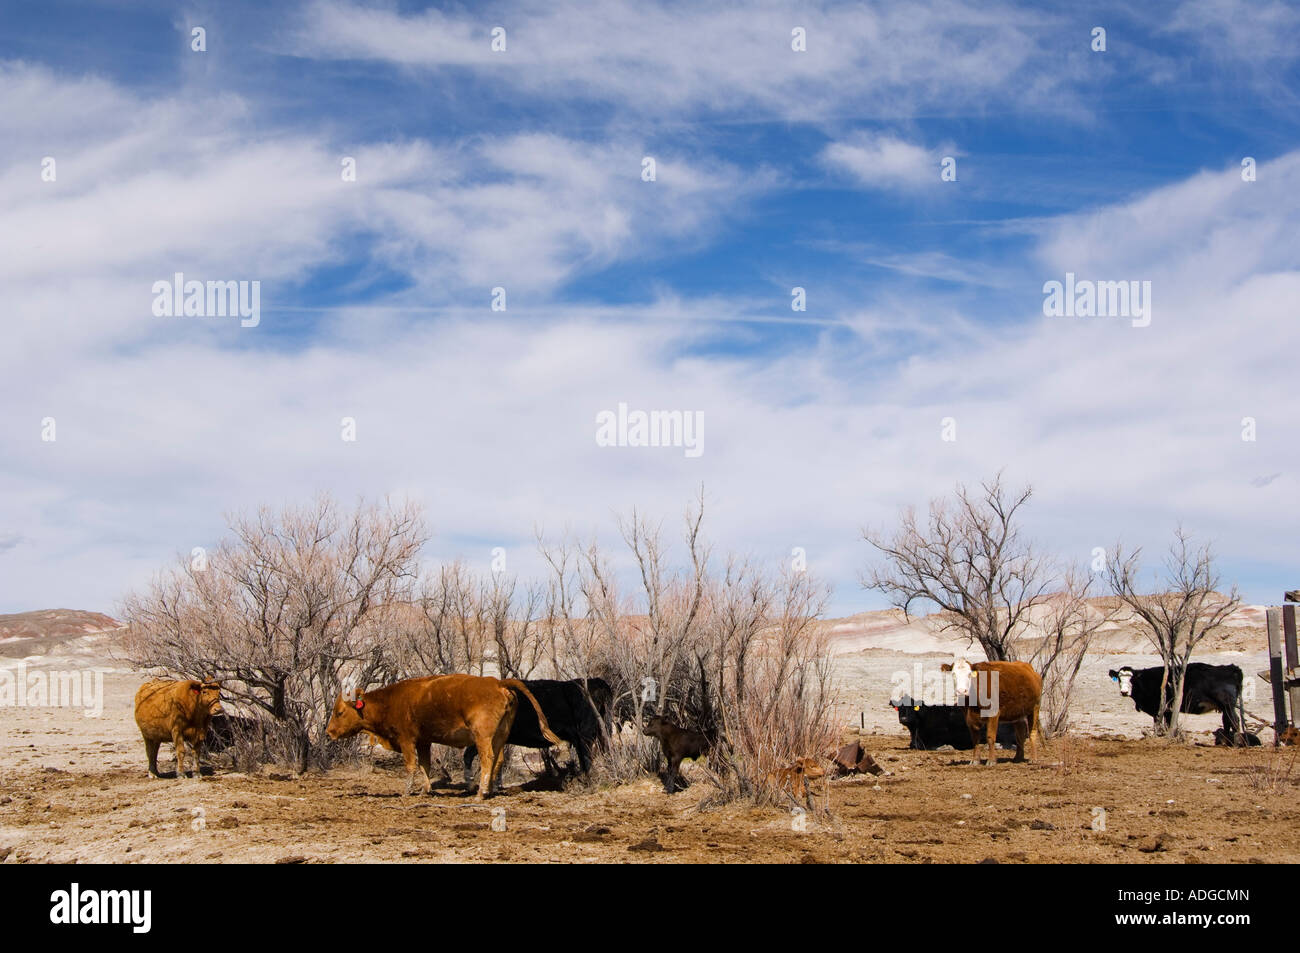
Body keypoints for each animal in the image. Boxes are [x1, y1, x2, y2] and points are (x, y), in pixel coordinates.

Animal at [325, 674, 560, 799]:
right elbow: (425, 765)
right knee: (499, 760)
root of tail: (496, 682)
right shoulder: (424, 741)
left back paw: (480, 792)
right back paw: (490, 790)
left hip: (482, 737)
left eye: (340, 712)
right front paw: (424, 790)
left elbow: (411, 765)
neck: (391, 701)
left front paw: (406, 792)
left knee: (488, 759)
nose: (329, 732)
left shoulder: (407, 740)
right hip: (500, 737)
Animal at [1108, 663, 1243, 735]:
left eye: (1132, 679)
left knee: (1235, 720)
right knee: (1227, 721)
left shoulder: (1159, 709)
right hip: (1225, 706)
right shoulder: (1169, 710)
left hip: (1227, 705)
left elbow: (1159, 724)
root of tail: (1230, 668)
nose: (1124, 692)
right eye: (1119, 678)